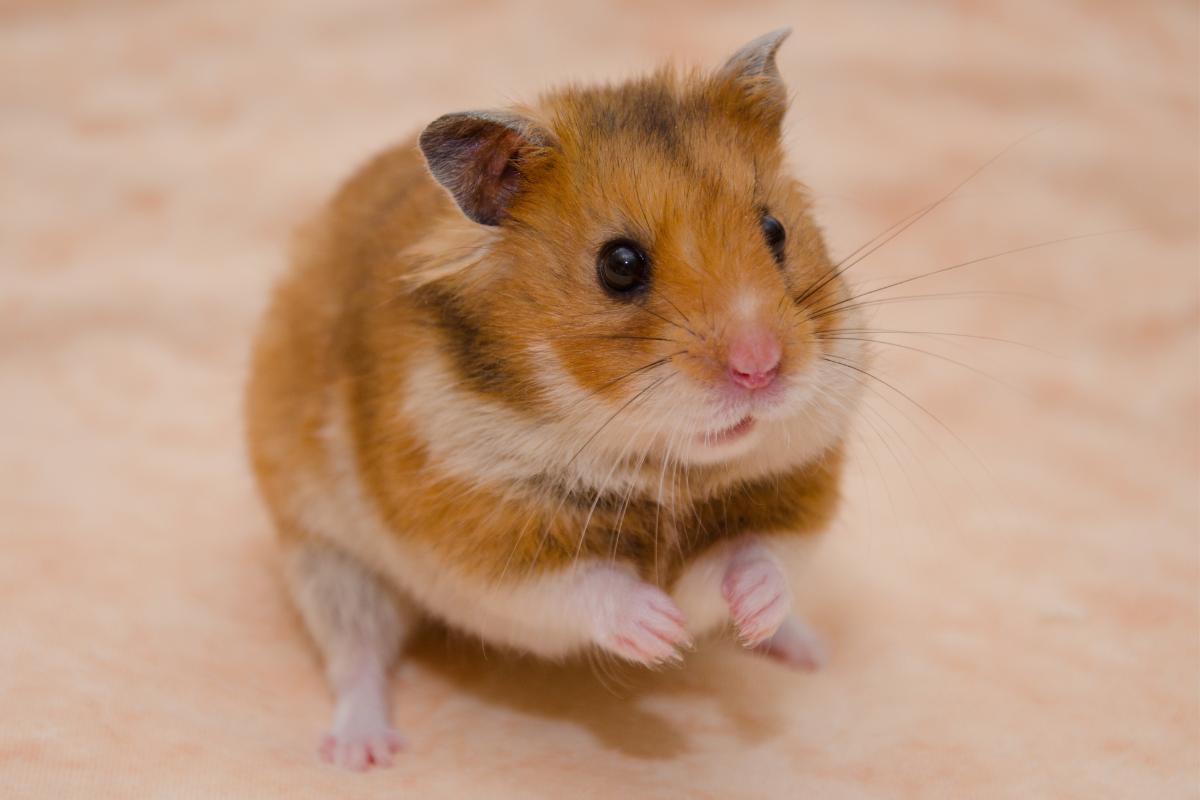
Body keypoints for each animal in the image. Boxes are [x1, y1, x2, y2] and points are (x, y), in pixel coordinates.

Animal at [245, 28, 865, 770]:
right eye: (619, 265)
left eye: (775, 231)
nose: (760, 368)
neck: (664, 467)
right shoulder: (479, 533)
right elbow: (588, 584)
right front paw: (663, 632)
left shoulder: (792, 491)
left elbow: (752, 556)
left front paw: (742, 612)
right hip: (326, 558)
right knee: (356, 655)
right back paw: (361, 753)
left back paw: (807, 649)